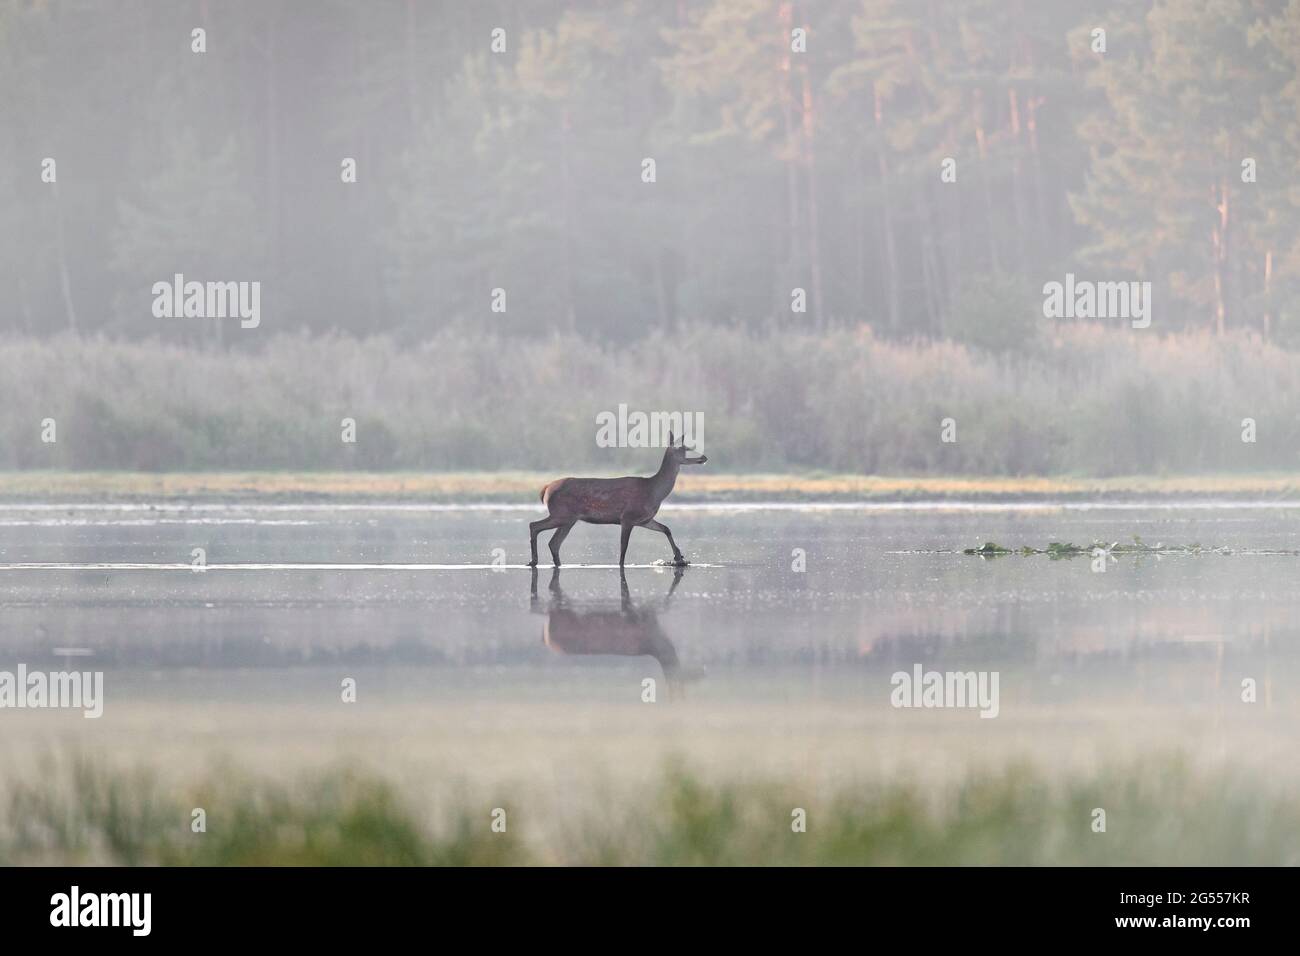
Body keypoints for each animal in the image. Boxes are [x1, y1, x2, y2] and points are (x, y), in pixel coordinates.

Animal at [529, 431, 707, 568]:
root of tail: (546, 488)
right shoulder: (627, 517)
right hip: (562, 514)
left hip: (568, 519)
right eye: (686, 449)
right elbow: (623, 548)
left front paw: (679, 558)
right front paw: (621, 565)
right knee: (535, 526)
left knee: (553, 543)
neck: (654, 491)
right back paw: (533, 561)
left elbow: (666, 528)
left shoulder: (644, 519)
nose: (704, 457)